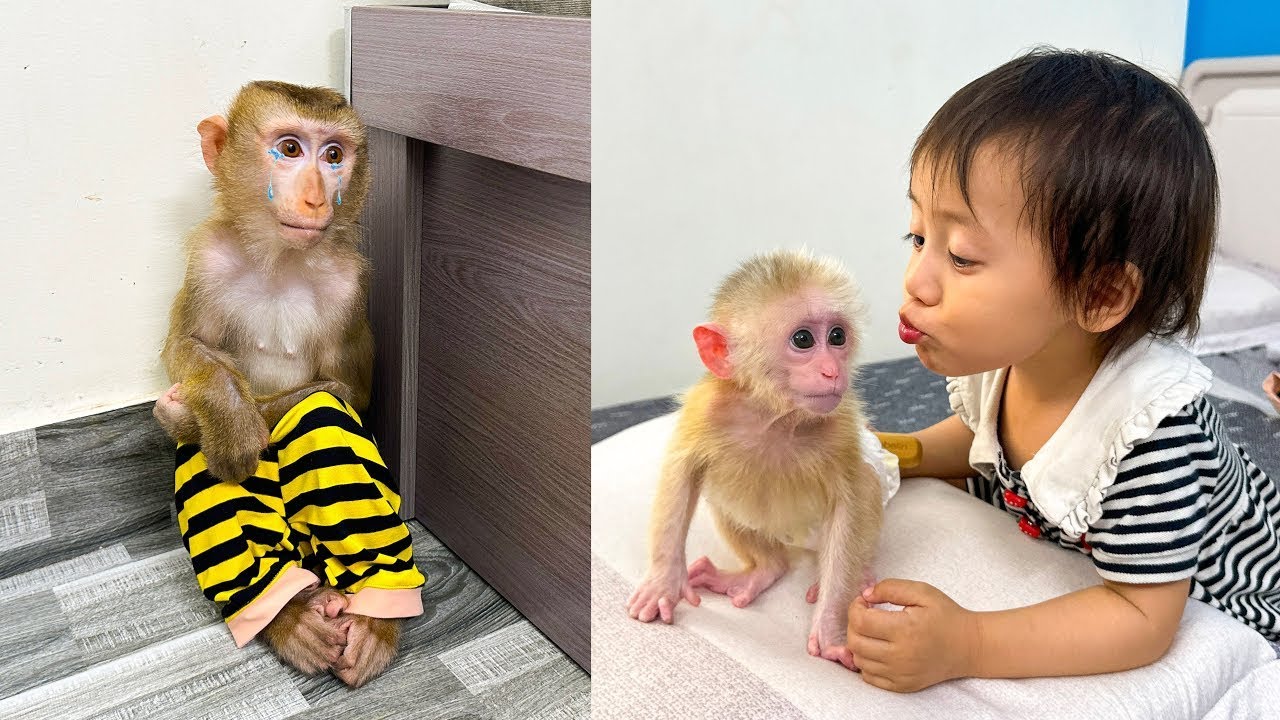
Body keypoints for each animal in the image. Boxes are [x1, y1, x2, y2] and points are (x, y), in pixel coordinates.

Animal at [156, 81, 420, 689]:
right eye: (291, 148)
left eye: (334, 155)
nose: (317, 200)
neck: (279, 259)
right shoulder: (207, 260)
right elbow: (187, 351)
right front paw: (225, 419)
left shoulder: (351, 287)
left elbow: (344, 392)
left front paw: (187, 414)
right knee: (199, 461)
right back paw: (287, 611)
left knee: (322, 415)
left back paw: (376, 615)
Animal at [626, 249, 884, 670]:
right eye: (803, 339)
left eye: (837, 337)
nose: (833, 371)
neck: (774, 415)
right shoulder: (707, 408)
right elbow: (682, 472)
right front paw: (664, 580)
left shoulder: (840, 423)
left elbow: (851, 499)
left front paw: (830, 627)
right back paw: (764, 570)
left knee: (868, 488)